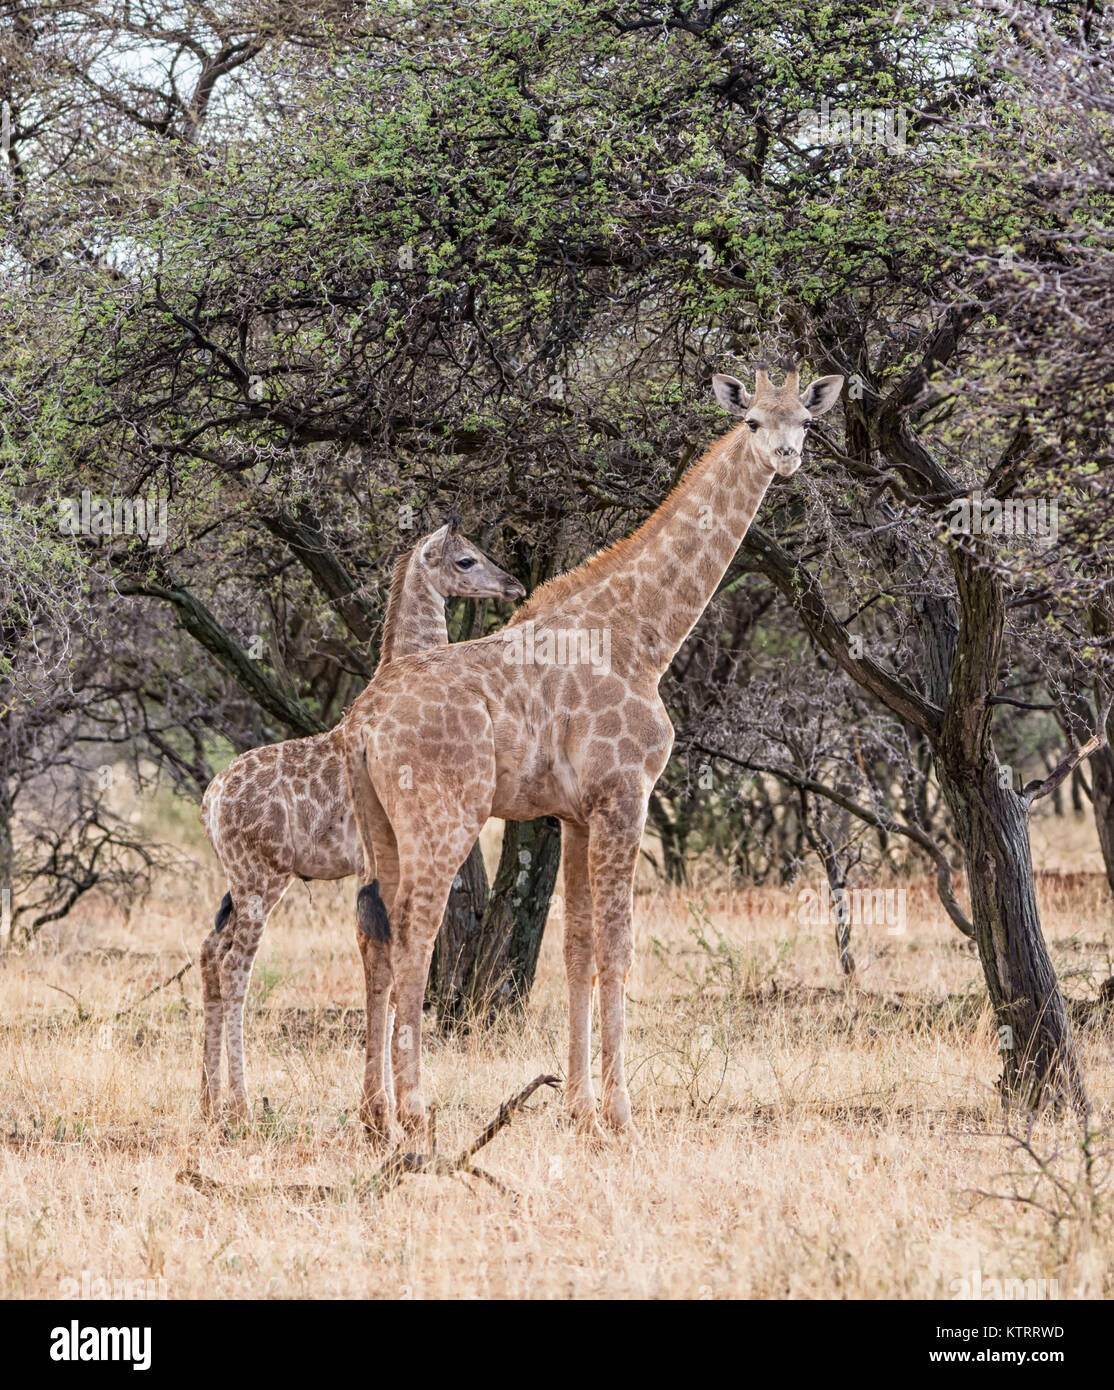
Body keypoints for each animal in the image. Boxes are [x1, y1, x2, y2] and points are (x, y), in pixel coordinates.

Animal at [198, 522, 525, 1119]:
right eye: (466, 561)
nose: (513, 585)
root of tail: (210, 800)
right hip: (263, 880)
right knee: (235, 968)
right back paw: (242, 1103)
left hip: (238, 882)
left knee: (210, 954)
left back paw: (209, 1101)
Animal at [340, 364, 845, 1144]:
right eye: (754, 421)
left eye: (808, 421)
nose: (787, 457)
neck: (642, 636)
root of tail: (362, 724)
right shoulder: (624, 794)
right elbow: (618, 947)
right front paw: (622, 1115)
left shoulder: (575, 814)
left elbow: (576, 949)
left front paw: (578, 1109)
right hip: (441, 820)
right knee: (415, 938)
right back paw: (418, 1114)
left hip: (379, 827)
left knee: (375, 937)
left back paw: (376, 1118)